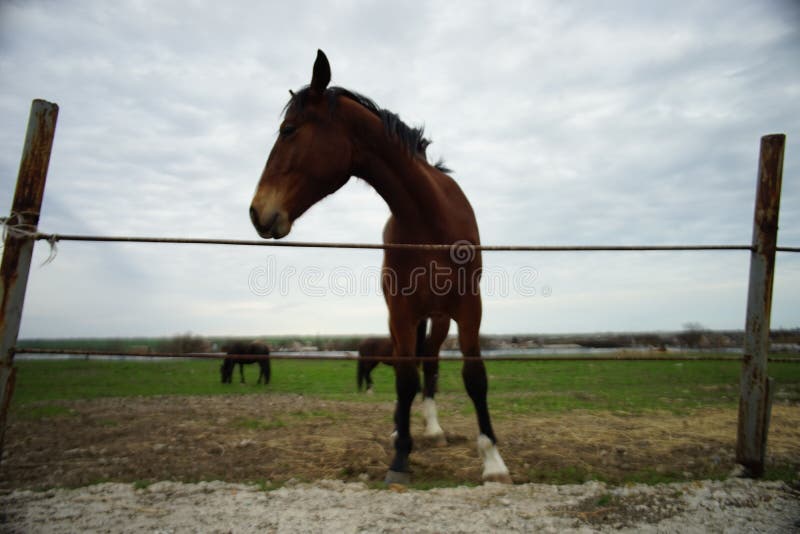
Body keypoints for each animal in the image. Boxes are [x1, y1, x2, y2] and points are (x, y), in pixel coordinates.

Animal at [249, 50, 510, 485]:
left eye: (289, 130)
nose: (257, 212)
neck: (428, 221)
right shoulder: (402, 312)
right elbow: (404, 381)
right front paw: (400, 455)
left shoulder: (469, 307)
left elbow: (474, 377)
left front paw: (492, 461)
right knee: (411, 370)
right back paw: (401, 431)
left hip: (439, 319)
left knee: (430, 364)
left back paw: (433, 430)